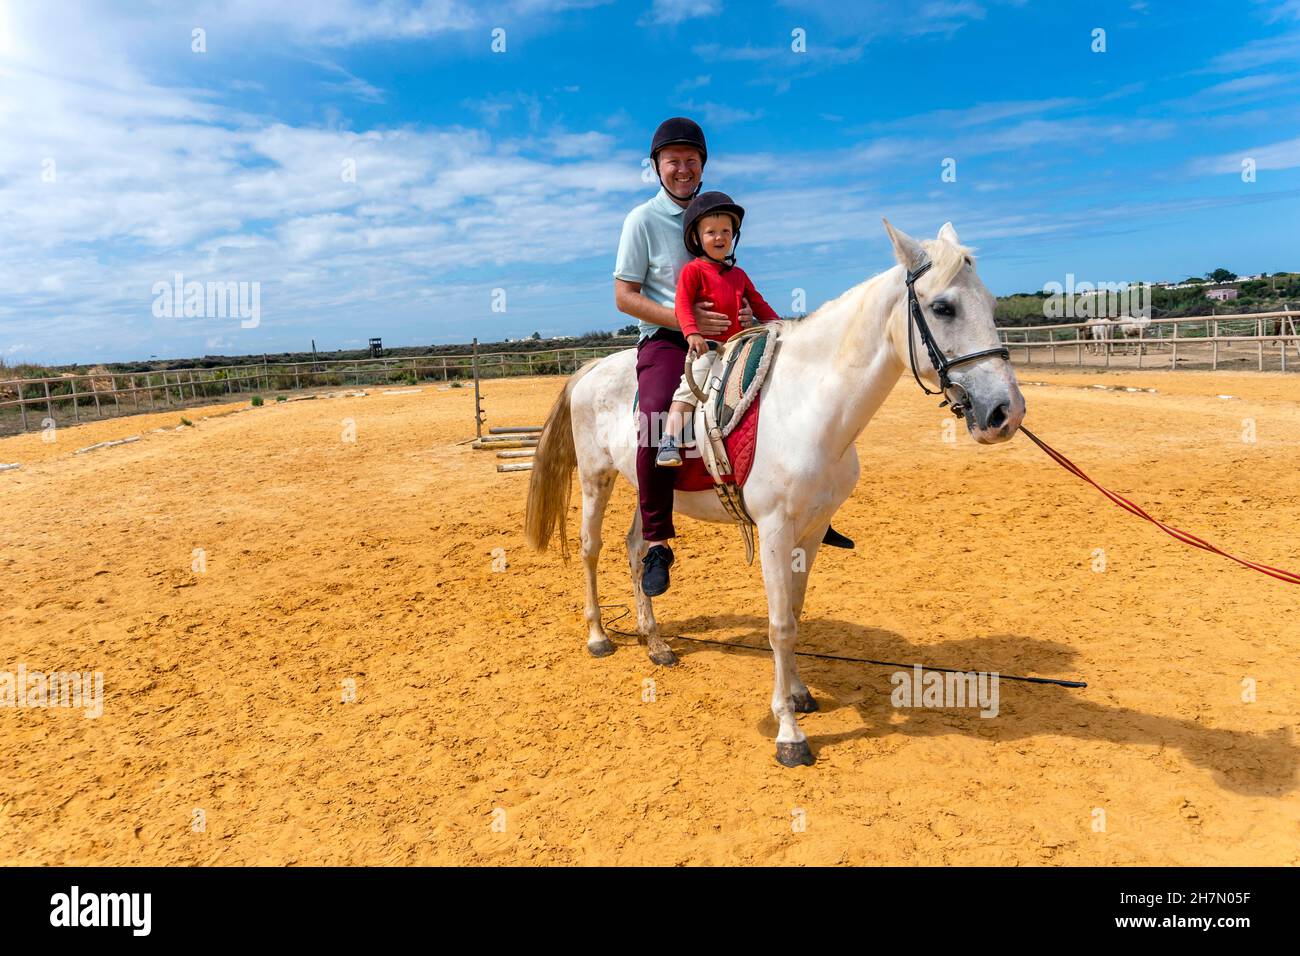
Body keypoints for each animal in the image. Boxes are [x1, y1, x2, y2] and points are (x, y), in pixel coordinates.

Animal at [524, 220, 1027, 767]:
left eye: (993, 304)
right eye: (943, 307)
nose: (1006, 411)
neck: (810, 405)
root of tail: (590, 369)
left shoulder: (811, 530)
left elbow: (795, 613)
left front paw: (800, 694)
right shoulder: (774, 530)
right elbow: (779, 624)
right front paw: (789, 733)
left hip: (648, 491)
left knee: (638, 548)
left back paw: (654, 640)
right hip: (597, 478)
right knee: (591, 549)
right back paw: (598, 636)